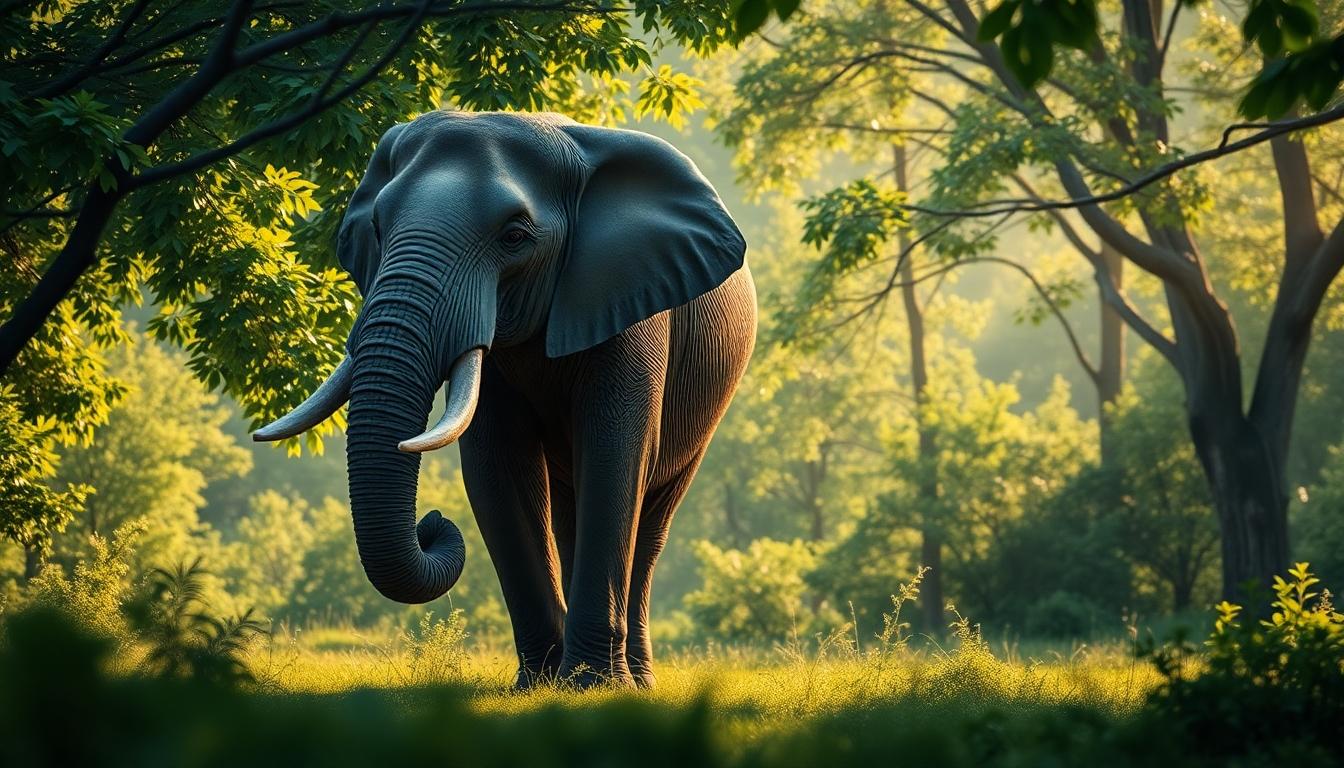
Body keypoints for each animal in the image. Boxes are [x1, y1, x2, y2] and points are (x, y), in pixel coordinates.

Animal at [253, 110, 756, 688]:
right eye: (377, 228)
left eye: (515, 237)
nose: (432, 524)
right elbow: (498, 468)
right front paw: (539, 684)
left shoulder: (629, 302)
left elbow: (614, 454)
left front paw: (592, 687)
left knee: (651, 519)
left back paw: (638, 680)